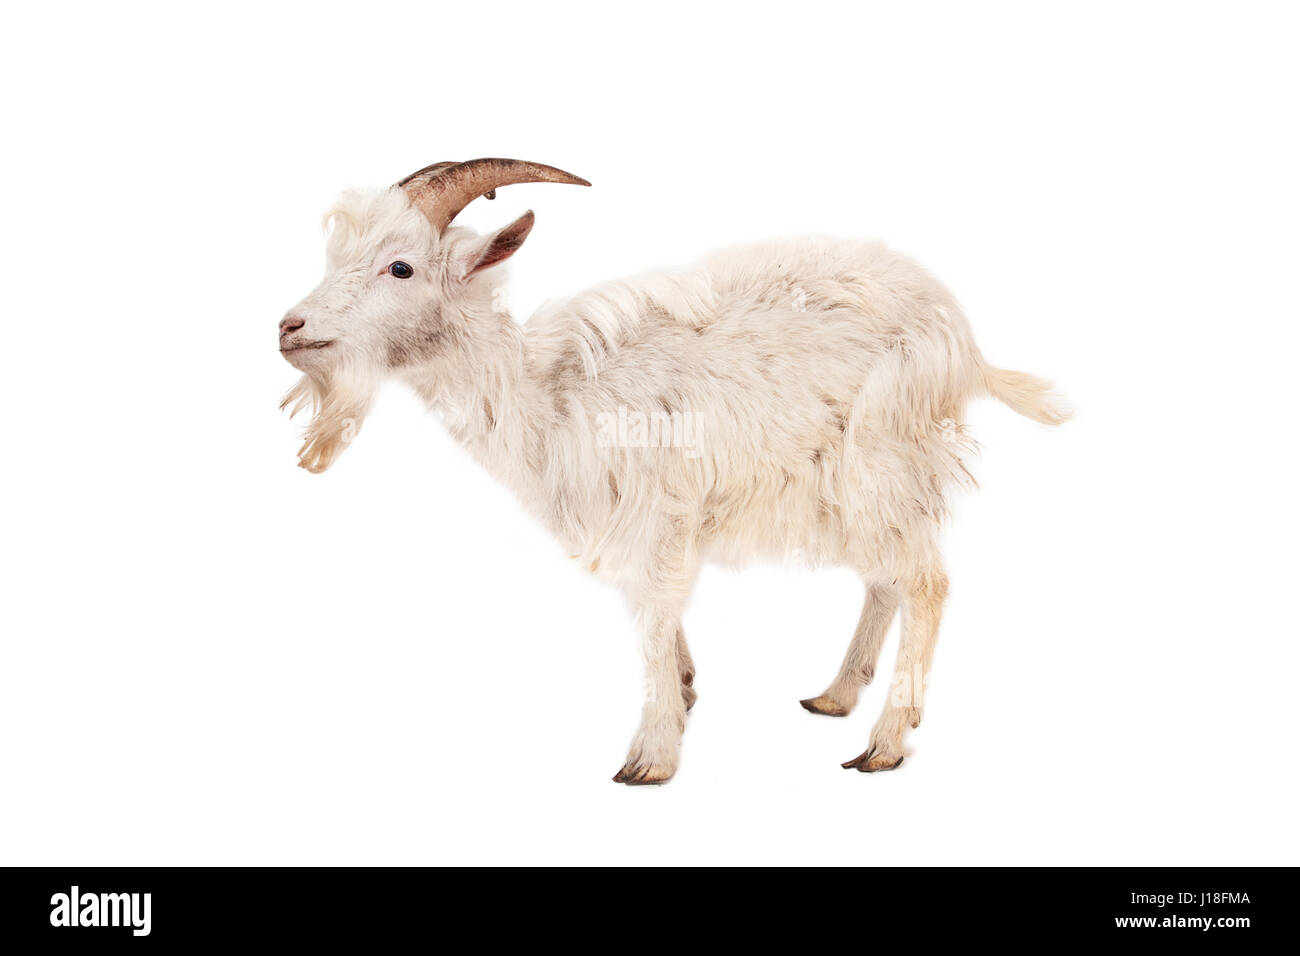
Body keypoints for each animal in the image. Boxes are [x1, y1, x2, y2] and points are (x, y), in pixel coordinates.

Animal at [279, 158, 1070, 784]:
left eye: (400, 267)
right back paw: (839, 695)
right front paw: (685, 693)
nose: (288, 328)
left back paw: (884, 743)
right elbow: (662, 613)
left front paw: (651, 754)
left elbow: (654, 610)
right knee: (886, 578)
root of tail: (962, 338)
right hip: (857, 482)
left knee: (927, 582)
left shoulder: (656, 506)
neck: (545, 390)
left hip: (883, 453)